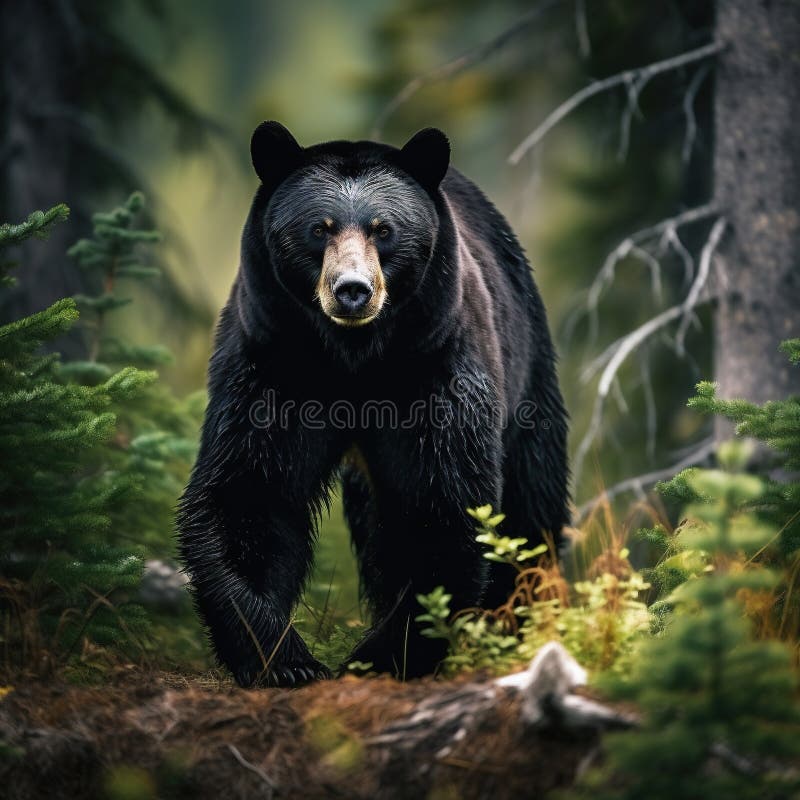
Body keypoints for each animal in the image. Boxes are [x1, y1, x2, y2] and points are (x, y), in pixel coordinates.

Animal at [177, 121, 569, 687]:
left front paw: (381, 658)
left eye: (384, 229)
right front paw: (284, 659)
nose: (352, 291)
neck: (354, 362)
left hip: (528, 365)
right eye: (318, 228)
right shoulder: (272, 362)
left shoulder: (434, 368)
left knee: (530, 497)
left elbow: (442, 504)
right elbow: (249, 492)